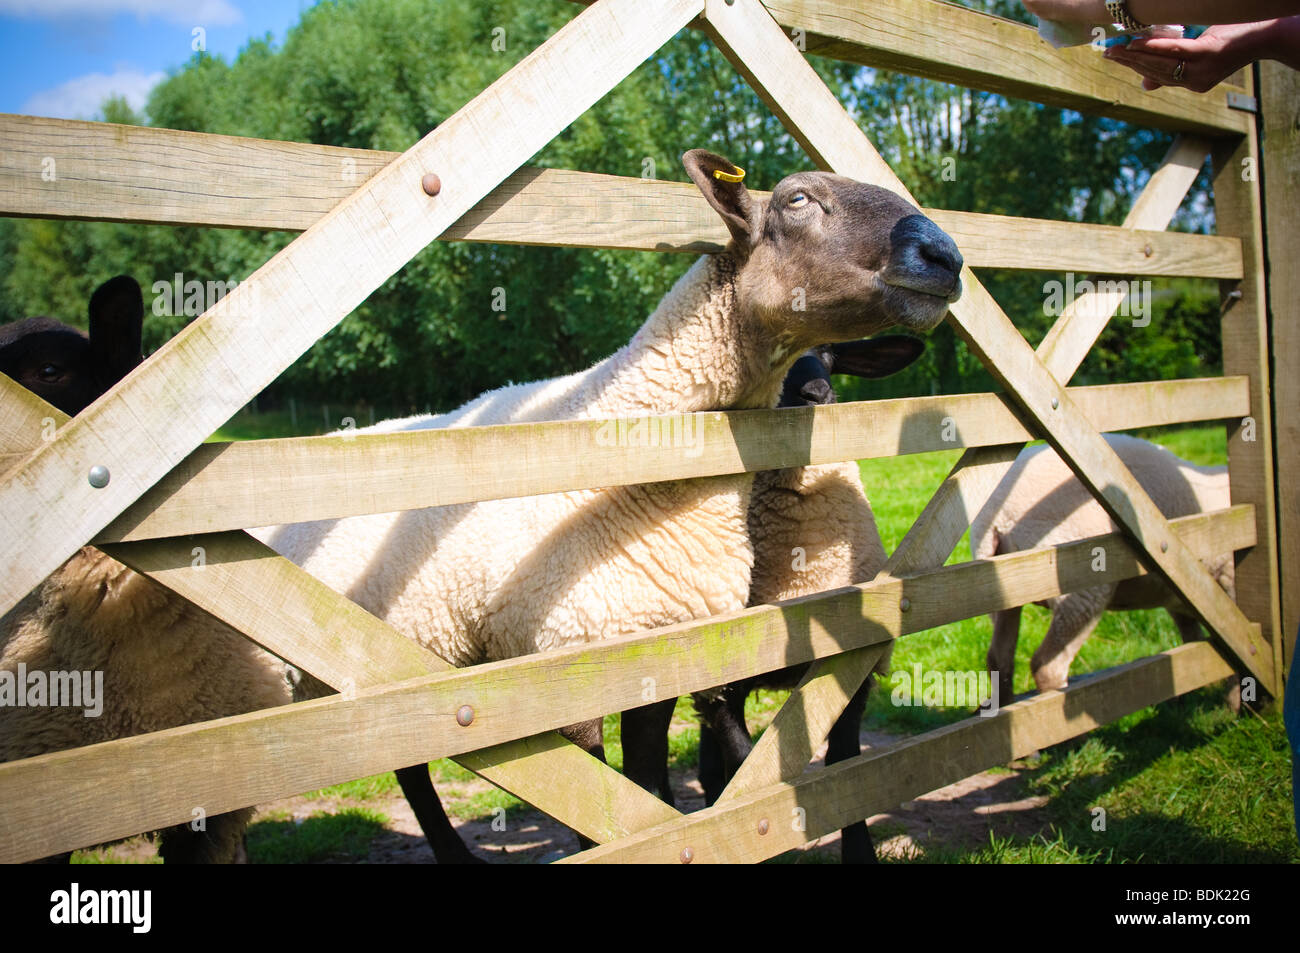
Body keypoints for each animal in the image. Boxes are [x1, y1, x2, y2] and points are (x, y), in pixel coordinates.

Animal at [688, 336, 923, 864]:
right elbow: (744, 769)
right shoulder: (724, 683)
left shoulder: (853, 667)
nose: (816, 392)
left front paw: (860, 853)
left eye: (833, 354)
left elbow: (844, 766)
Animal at [970, 433, 1233, 705]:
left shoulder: (1179, 600)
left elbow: (1193, 641)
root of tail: (1000, 517)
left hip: (1002, 591)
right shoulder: (1227, 581)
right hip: (1079, 591)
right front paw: (1237, 705)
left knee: (998, 658)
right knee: (1047, 666)